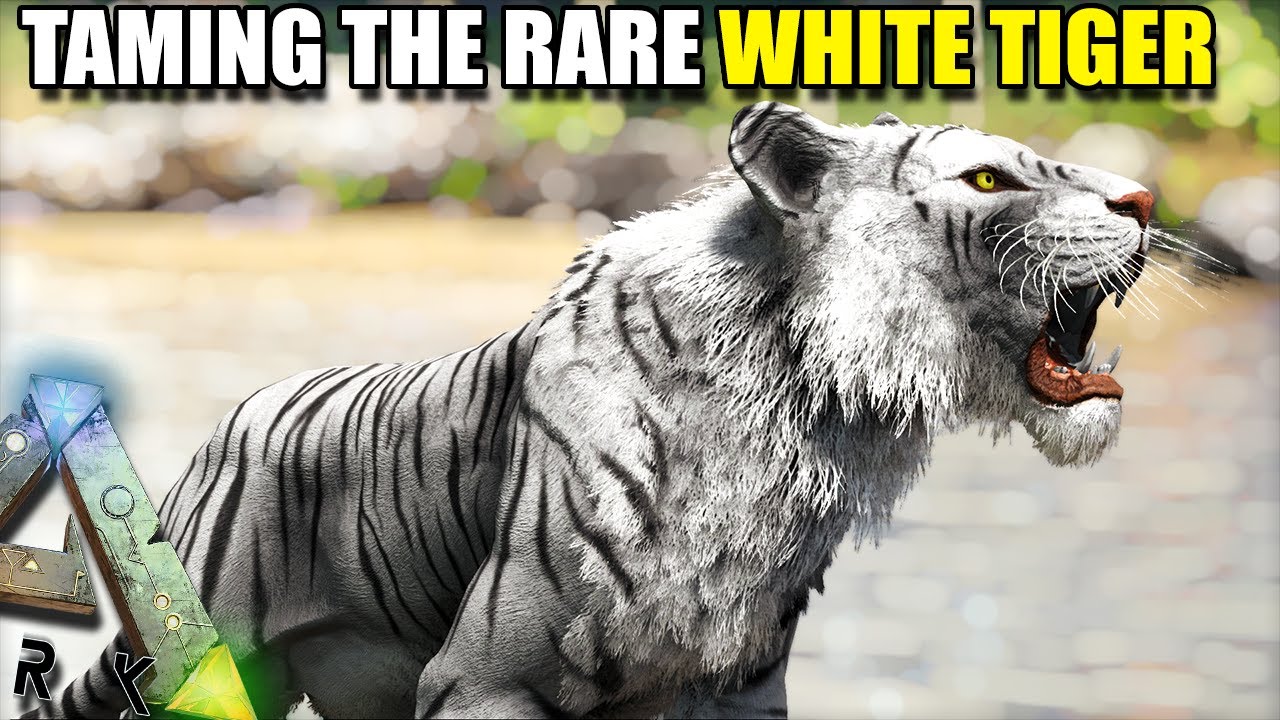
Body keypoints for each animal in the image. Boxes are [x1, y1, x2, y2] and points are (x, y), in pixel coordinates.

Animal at [34, 101, 1155, 719]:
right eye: (987, 178)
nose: (1145, 202)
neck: (803, 398)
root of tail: (228, 429)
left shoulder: (737, 688)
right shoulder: (487, 678)